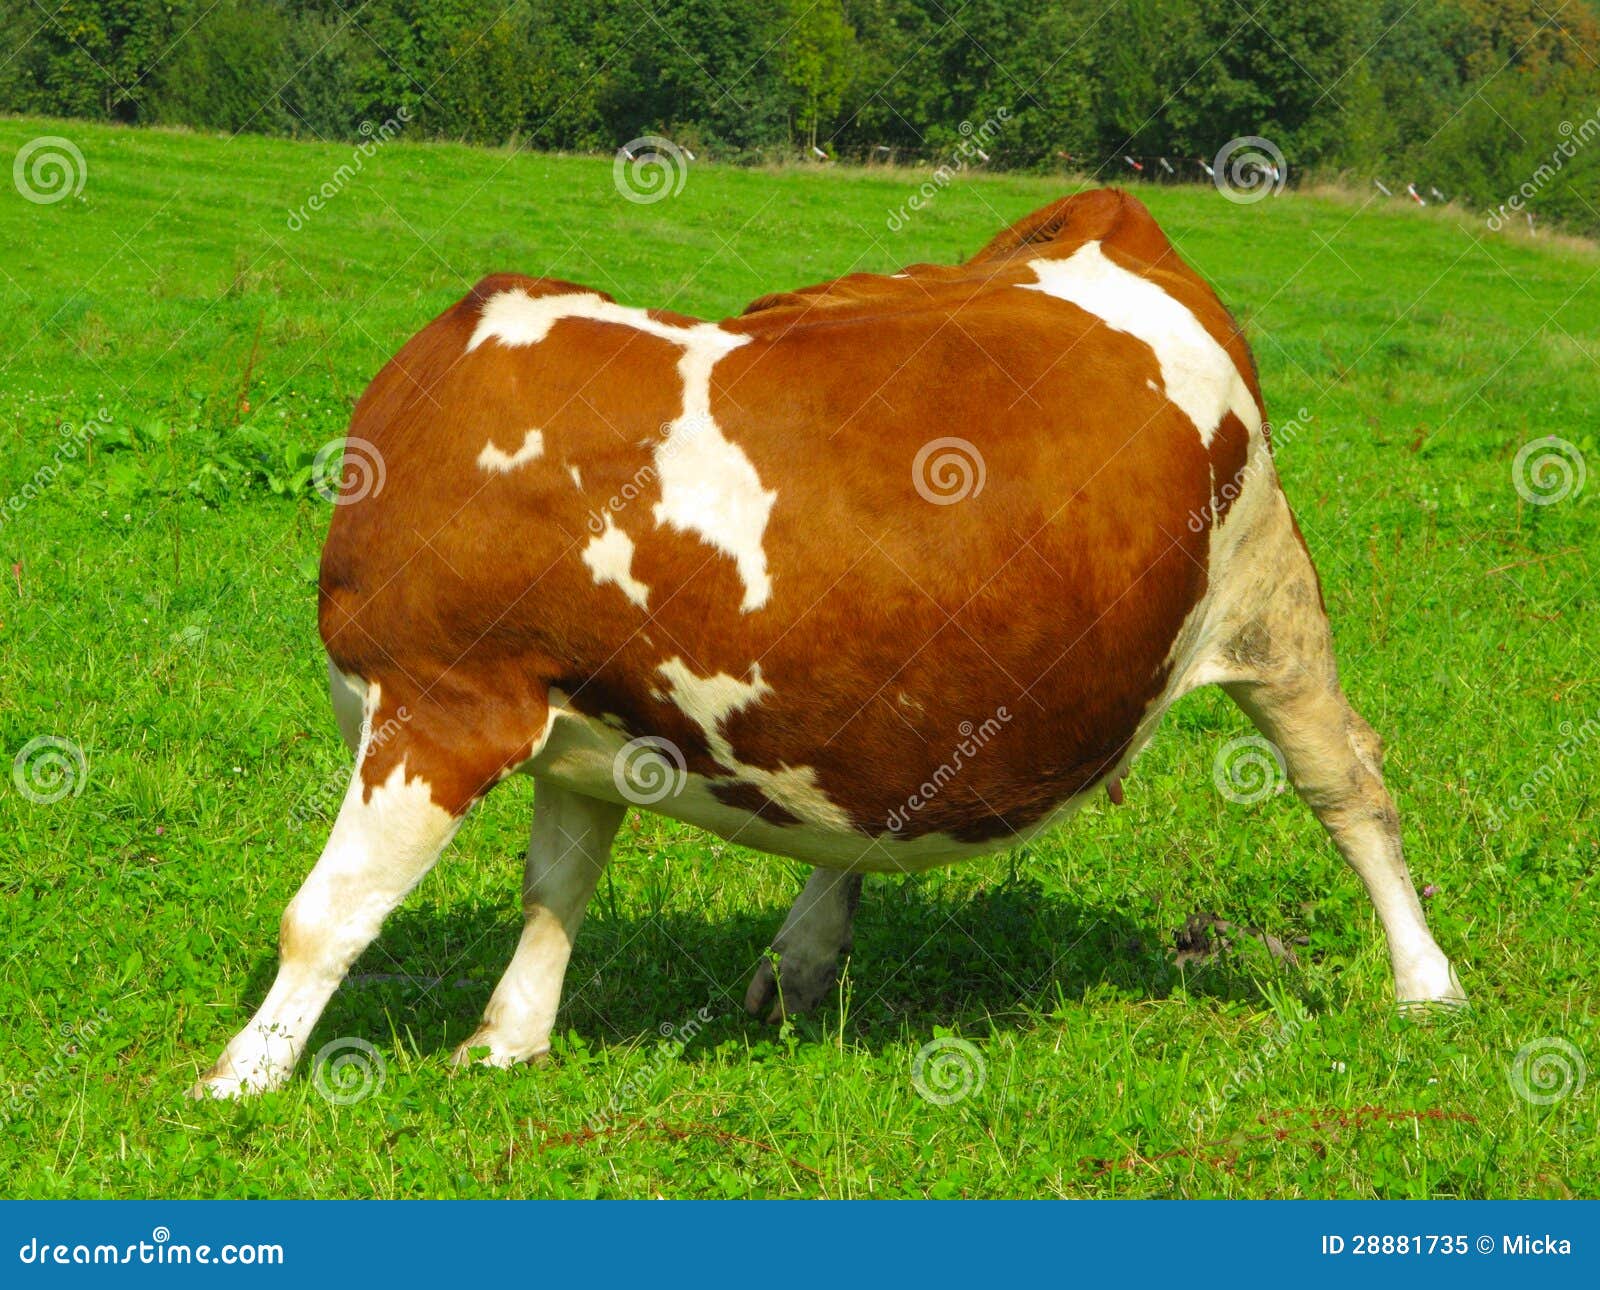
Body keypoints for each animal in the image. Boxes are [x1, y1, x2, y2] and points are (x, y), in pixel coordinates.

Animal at [193, 188, 1464, 1098]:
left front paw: (240, 1080)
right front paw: (508, 1045)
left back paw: (1426, 987)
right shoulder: (581, 724)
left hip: (1269, 594)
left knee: (1347, 783)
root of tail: (1102, 216)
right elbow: (556, 885)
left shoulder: (446, 702)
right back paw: (801, 956)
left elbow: (326, 913)